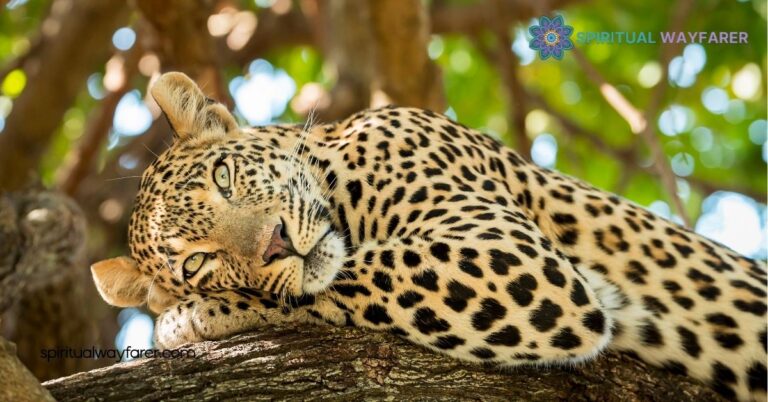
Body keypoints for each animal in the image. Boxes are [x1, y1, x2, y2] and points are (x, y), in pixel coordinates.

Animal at [91, 72, 767, 401]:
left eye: (225, 178)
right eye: (196, 263)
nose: (277, 244)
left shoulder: (508, 253)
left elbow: (356, 274)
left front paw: (190, 318)